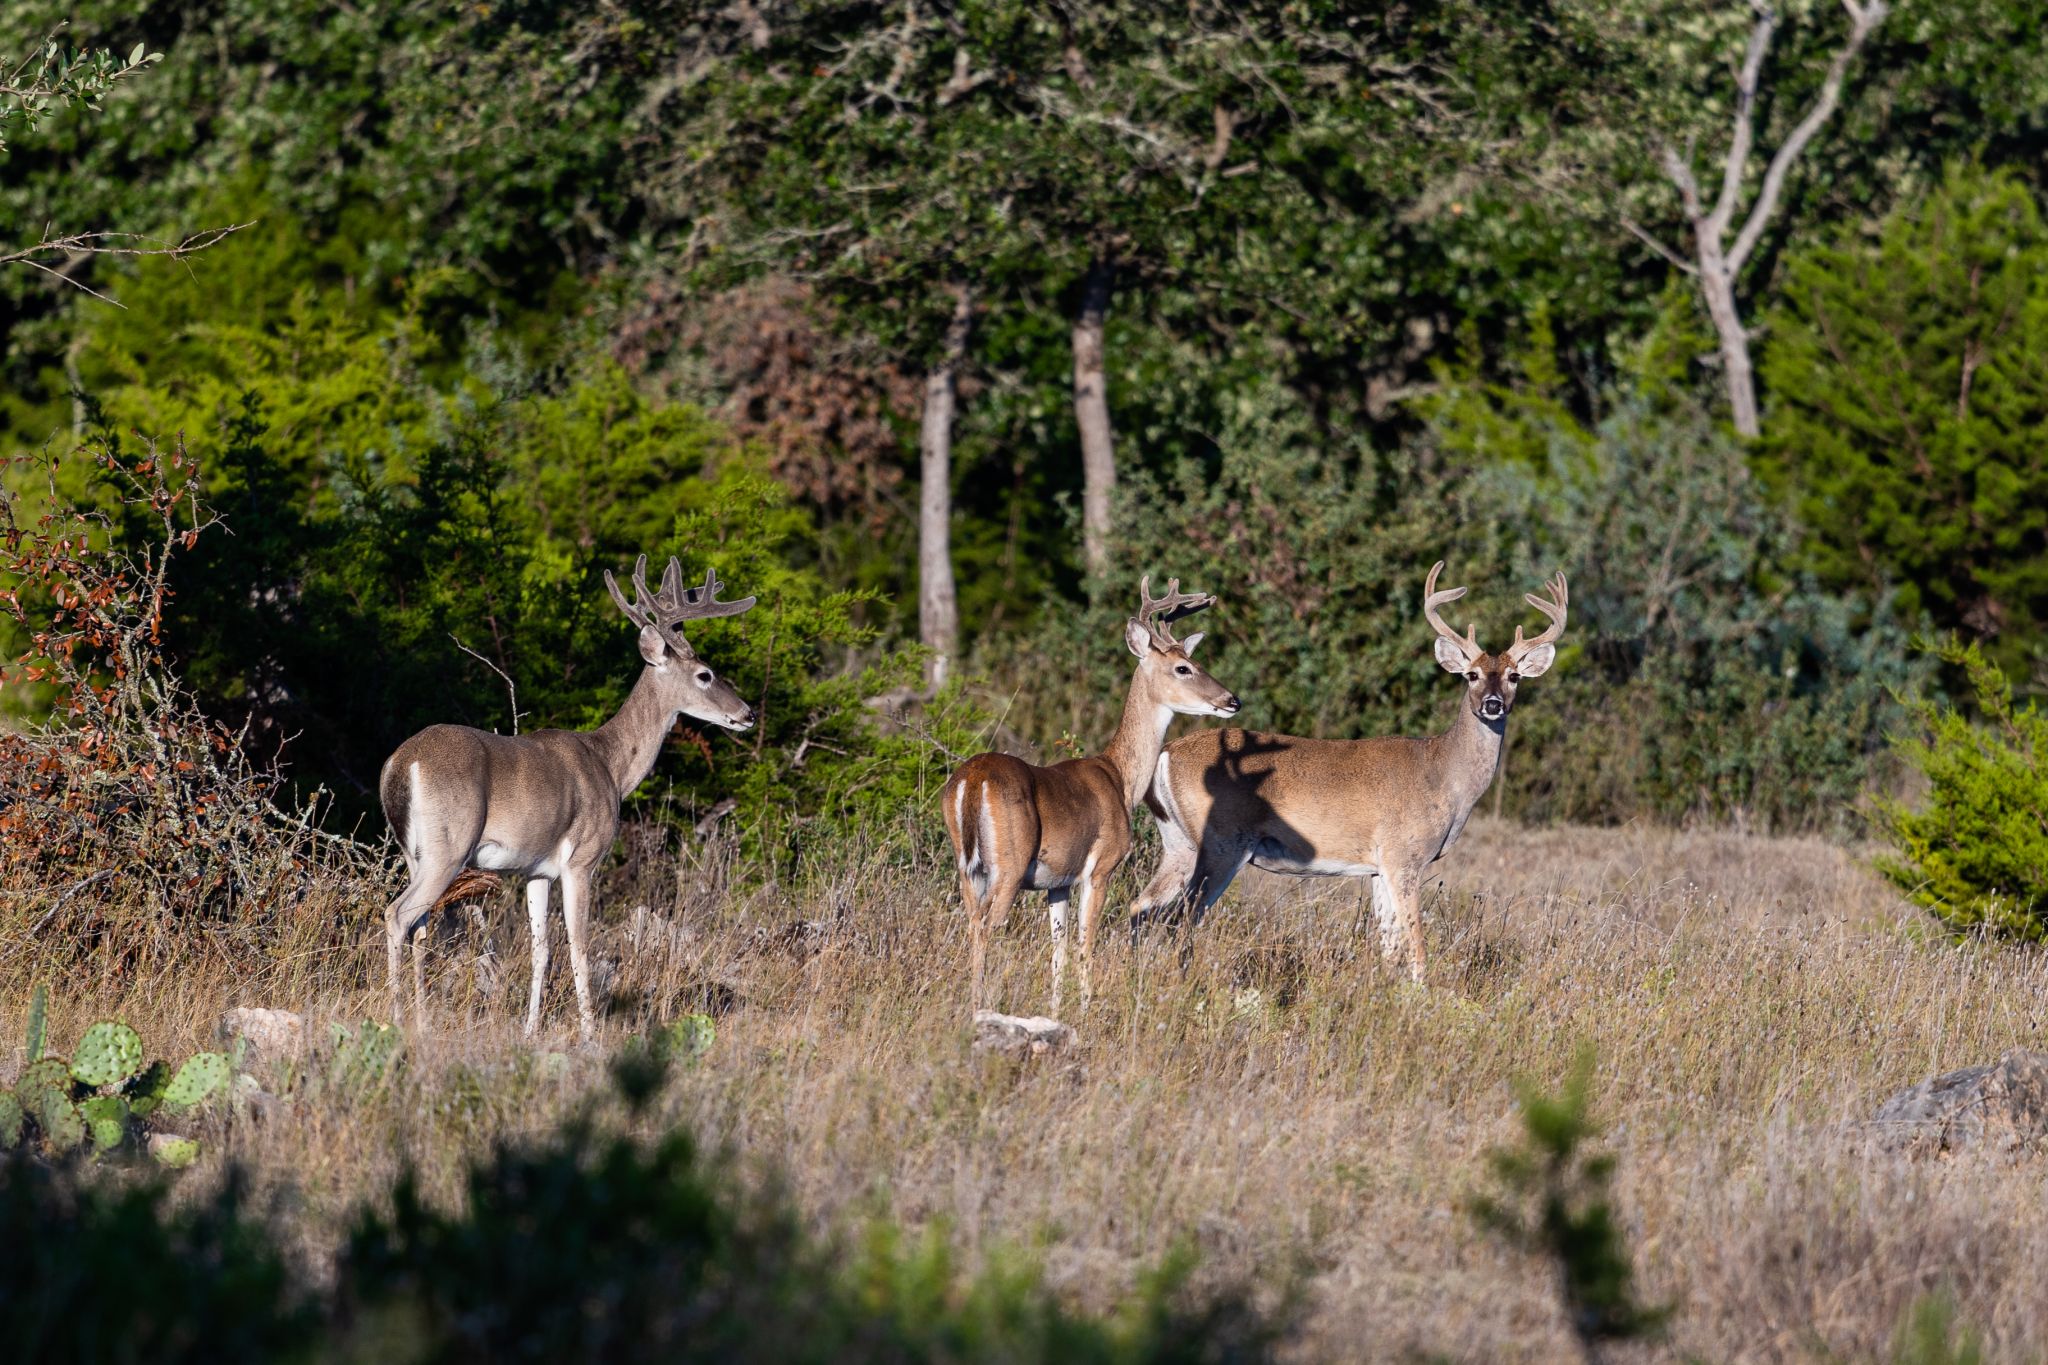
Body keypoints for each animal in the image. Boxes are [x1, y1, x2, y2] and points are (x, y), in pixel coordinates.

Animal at [379, 554, 757, 1040]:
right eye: (705, 674)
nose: (747, 713)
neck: (611, 766)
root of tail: (399, 766)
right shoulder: (582, 859)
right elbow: (580, 945)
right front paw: (590, 1034)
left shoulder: (535, 870)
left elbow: (540, 950)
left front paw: (530, 1031)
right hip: (450, 845)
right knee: (398, 915)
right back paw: (395, 1018)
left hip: (415, 852)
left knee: (421, 926)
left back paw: (423, 1021)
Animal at [941, 576, 1241, 1018]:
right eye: (1183, 668)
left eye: (1196, 661)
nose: (1232, 700)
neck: (1121, 779)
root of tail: (972, 782)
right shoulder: (1100, 867)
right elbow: (1087, 942)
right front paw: (1085, 1008)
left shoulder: (1057, 882)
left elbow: (1059, 948)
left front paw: (1056, 1008)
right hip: (1008, 865)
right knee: (984, 927)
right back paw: (980, 1005)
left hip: (967, 868)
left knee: (970, 922)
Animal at [1129, 563, 1567, 982]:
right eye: (1471, 675)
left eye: (1514, 676)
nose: (1493, 704)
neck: (1442, 774)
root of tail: (1166, 754)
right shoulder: (1403, 856)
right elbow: (1416, 947)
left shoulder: (1378, 867)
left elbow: (1389, 946)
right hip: (1221, 842)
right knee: (1181, 917)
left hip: (1179, 843)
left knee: (1142, 905)